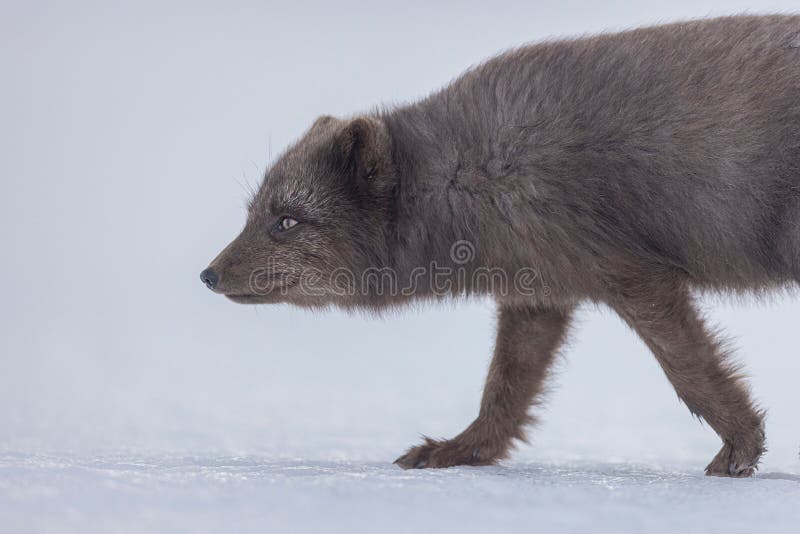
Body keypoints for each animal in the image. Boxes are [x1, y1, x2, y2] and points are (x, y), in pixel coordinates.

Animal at [201, 14, 800, 476]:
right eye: (253, 212)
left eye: (286, 221)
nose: (208, 274)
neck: (464, 174)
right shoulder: (537, 290)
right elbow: (506, 387)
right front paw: (456, 451)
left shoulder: (629, 274)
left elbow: (690, 371)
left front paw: (740, 450)